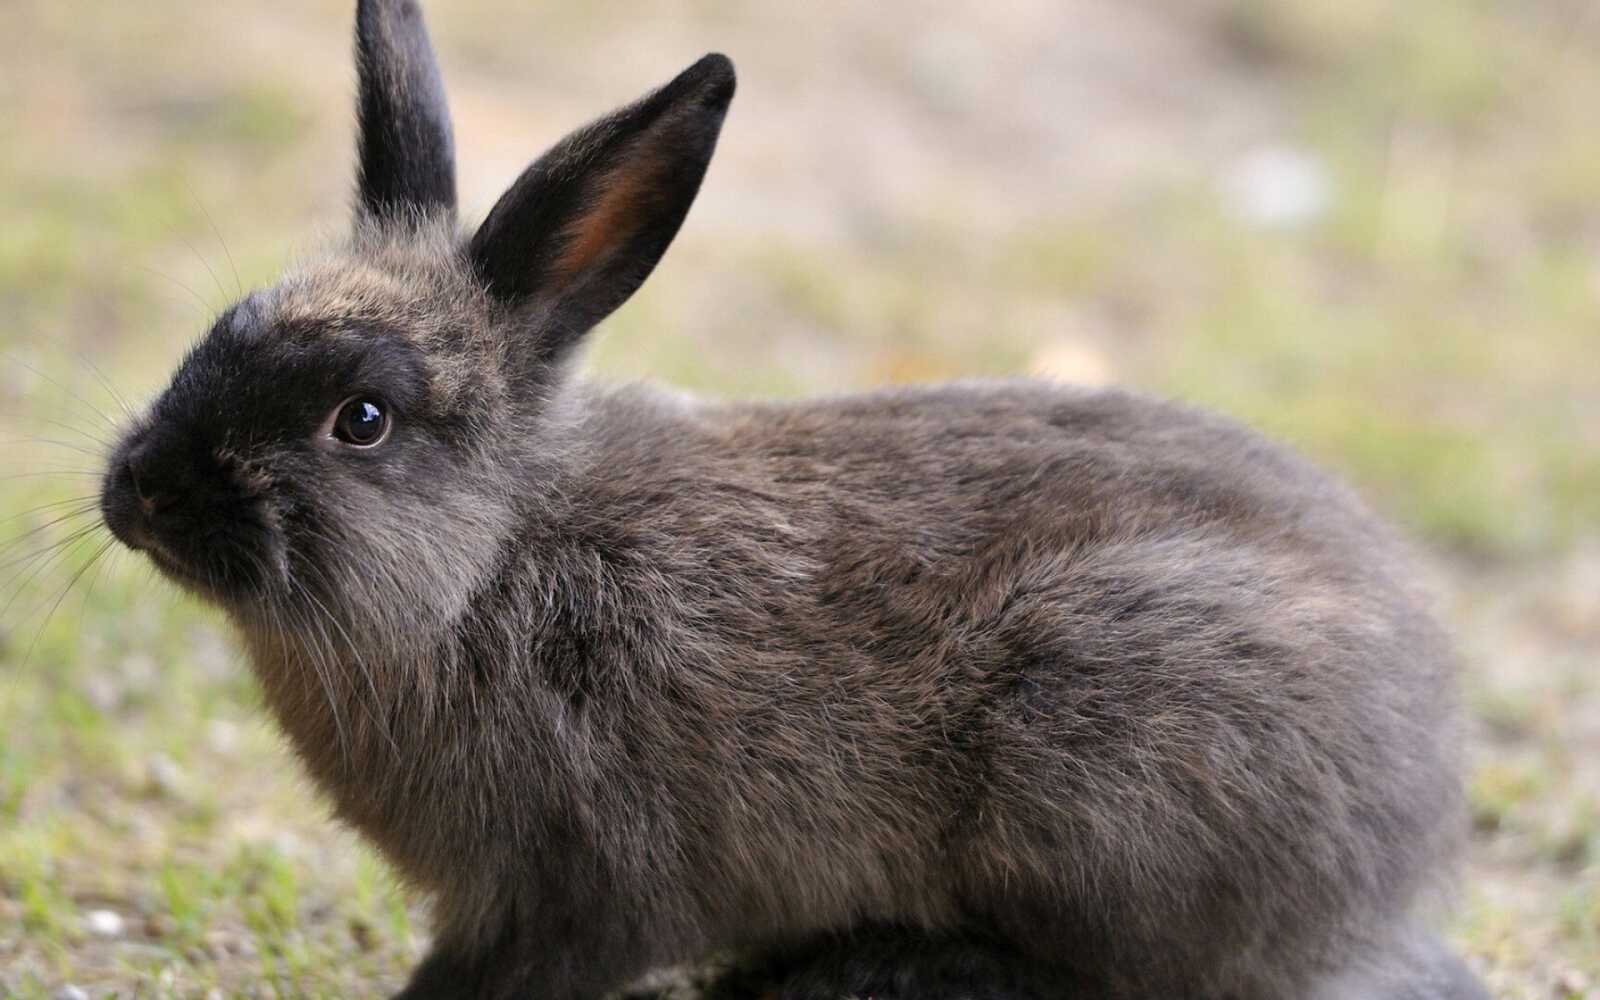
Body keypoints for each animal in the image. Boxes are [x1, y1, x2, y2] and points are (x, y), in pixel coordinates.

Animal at [97, 1, 1488, 998]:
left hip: (1101, 740)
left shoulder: (577, 884)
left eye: (363, 419)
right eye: (220, 328)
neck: (487, 563)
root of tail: (1411, 822)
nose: (134, 497)